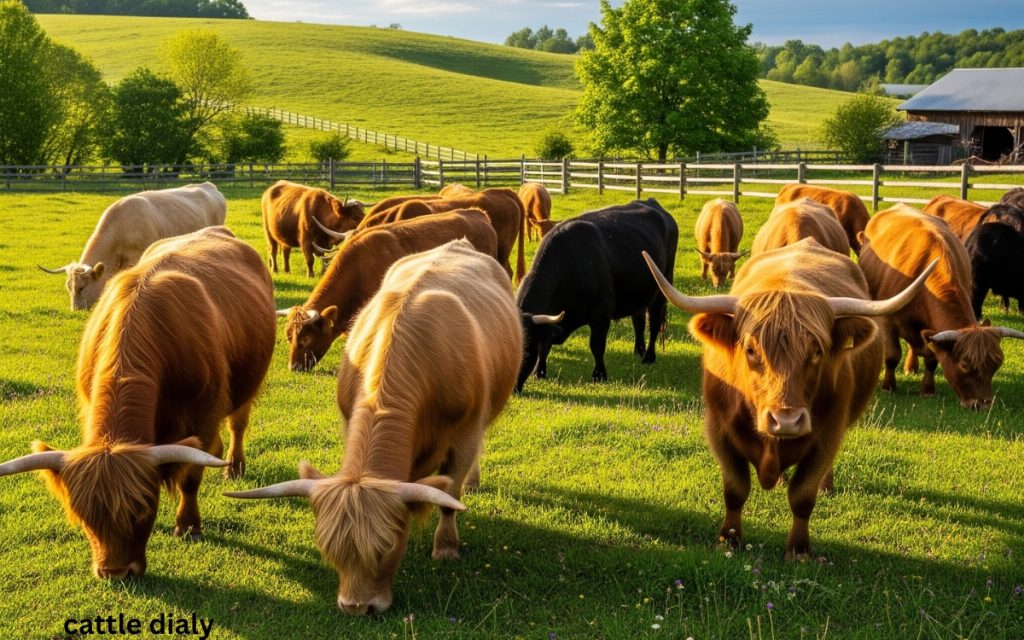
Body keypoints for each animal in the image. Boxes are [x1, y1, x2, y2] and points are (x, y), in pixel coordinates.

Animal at [0, 226, 276, 578]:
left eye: (143, 508)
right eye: (82, 515)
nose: (114, 572)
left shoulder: (202, 416)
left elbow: (189, 477)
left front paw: (189, 525)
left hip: (247, 383)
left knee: (237, 425)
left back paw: (234, 466)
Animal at [227, 239, 521, 615]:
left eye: (388, 546)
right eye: (329, 549)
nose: (357, 607)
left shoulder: (464, 435)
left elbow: (449, 495)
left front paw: (446, 548)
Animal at [516, 198, 678, 392]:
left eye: (525, 350)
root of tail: (653, 203)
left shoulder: (601, 313)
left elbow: (596, 345)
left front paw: (599, 375)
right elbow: (545, 345)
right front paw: (539, 372)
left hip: (661, 288)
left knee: (654, 324)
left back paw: (648, 357)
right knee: (638, 321)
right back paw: (638, 351)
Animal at [642, 238, 934, 559]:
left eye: (817, 351)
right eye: (751, 350)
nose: (786, 421)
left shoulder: (828, 435)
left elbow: (803, 496)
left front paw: (799, 550)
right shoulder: (719, 430)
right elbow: (735, 489)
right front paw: (729, 540)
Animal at [858, 204, 1024, 408]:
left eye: (996, 365)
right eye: (964, 365)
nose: (983, 404)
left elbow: (931, 359)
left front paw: (928, 390)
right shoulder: (887, 321)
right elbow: (892, 355)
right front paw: (888, 386)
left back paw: (911, 367)